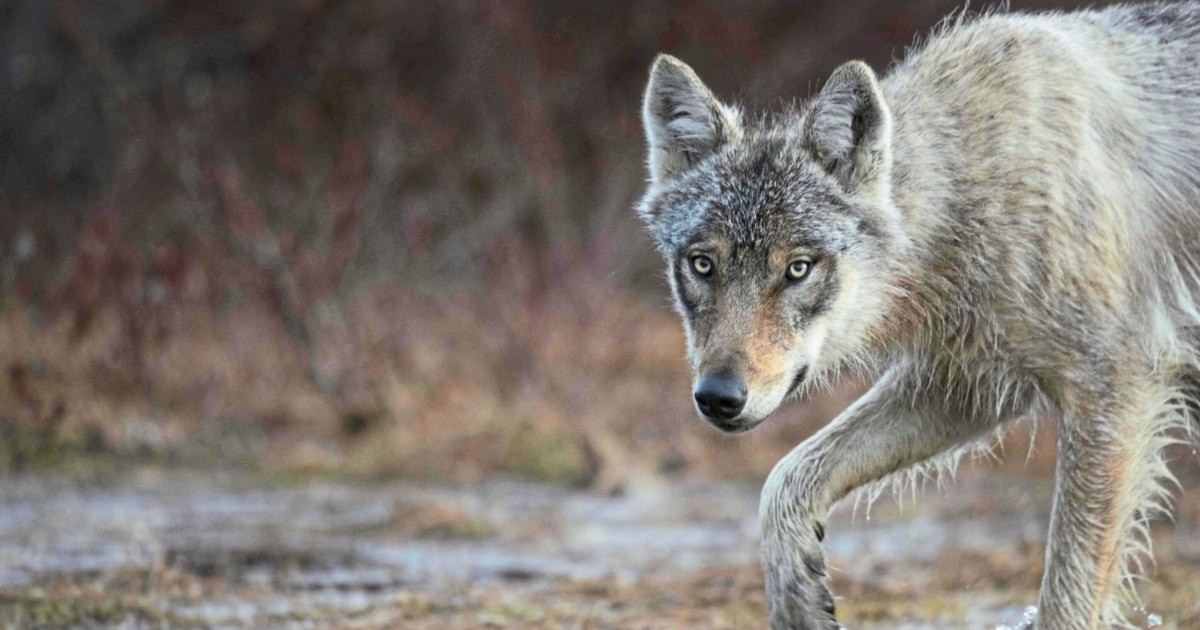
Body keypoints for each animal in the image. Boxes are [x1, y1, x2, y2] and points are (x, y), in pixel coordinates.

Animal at [635, 3, 1200, 629]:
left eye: (799, 269)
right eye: (702, 264)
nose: (717, 397)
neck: (977, 186)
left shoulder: (1114, 391)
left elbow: (1066, 598)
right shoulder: (965, 386)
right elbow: (784, 479)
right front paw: (798, 600)